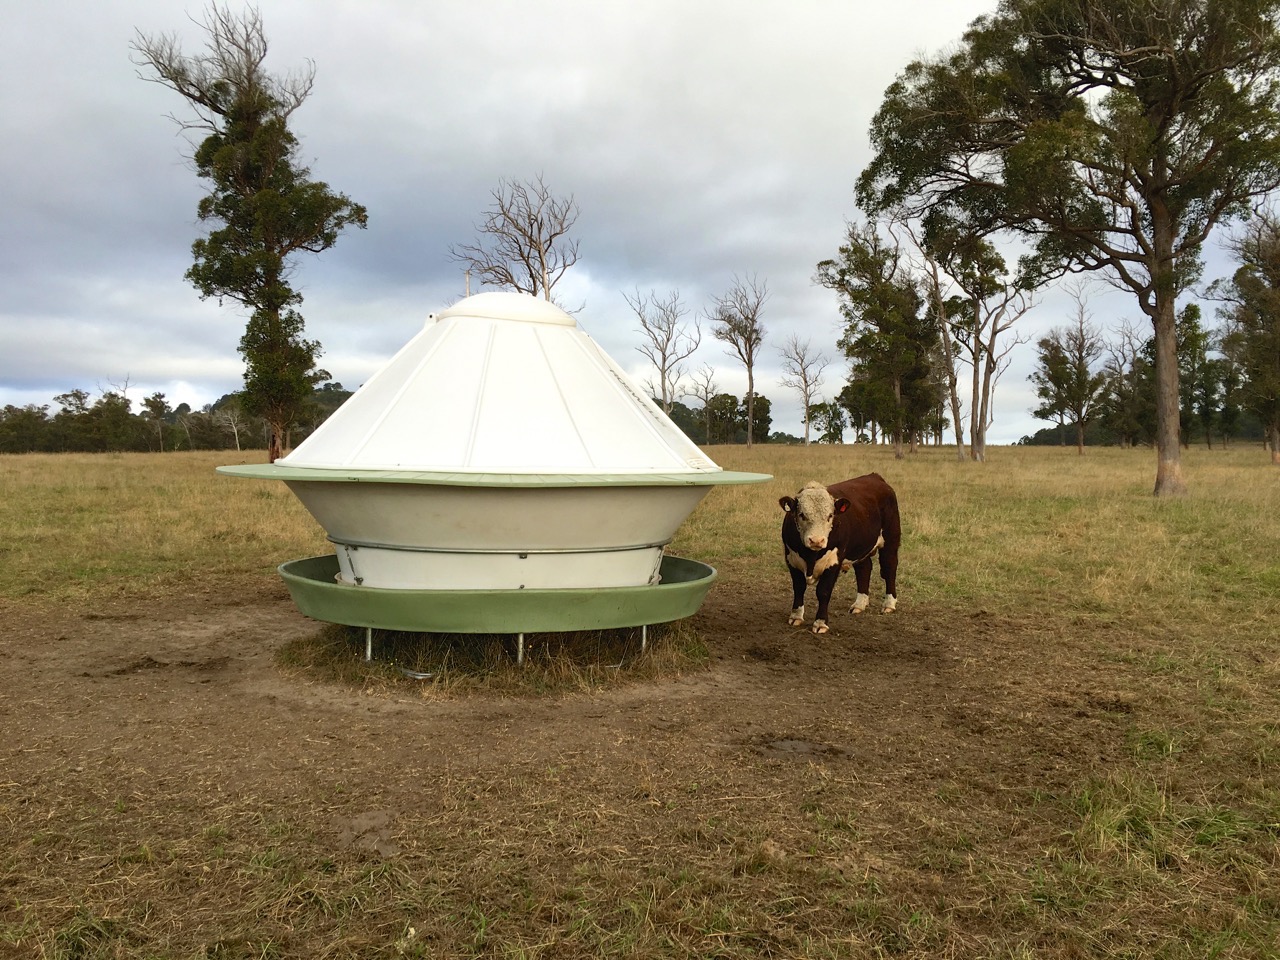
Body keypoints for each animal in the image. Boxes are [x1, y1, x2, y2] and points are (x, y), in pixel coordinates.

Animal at [779, 473, 900, 635]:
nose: (816, 540)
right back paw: (859, 605)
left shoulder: (833, 562)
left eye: (830, 515)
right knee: (864, 569)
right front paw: (796, 616)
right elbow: (799, 588)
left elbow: (823, 591)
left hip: (891, 541)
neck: (811, 556)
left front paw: (820, 623)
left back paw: (889, 604)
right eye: (801, 515)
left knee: (889, 569)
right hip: (861, 546)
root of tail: (875, 477)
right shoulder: (792, 559)